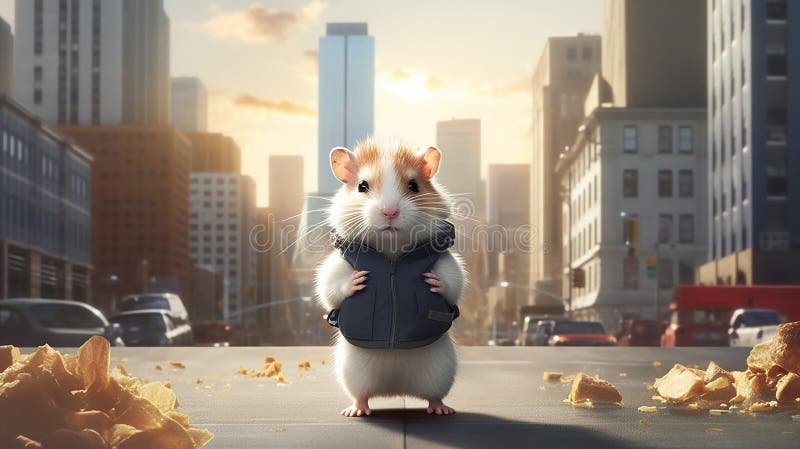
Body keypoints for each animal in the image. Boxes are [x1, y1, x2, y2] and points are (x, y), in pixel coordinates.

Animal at [315, 137, 466, 417]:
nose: (390, 212)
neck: (391, 251)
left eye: (414, 185)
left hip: (440, 371)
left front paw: (433, 281)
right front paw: (358, 280)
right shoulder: (335, 265)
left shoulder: (448, 262)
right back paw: (356, 411)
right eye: (362, 186)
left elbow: (453, 282)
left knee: (434, 395)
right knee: (360, 395)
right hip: (353, 373)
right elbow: (330, 287)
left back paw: (440, 409)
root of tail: (395, 389)